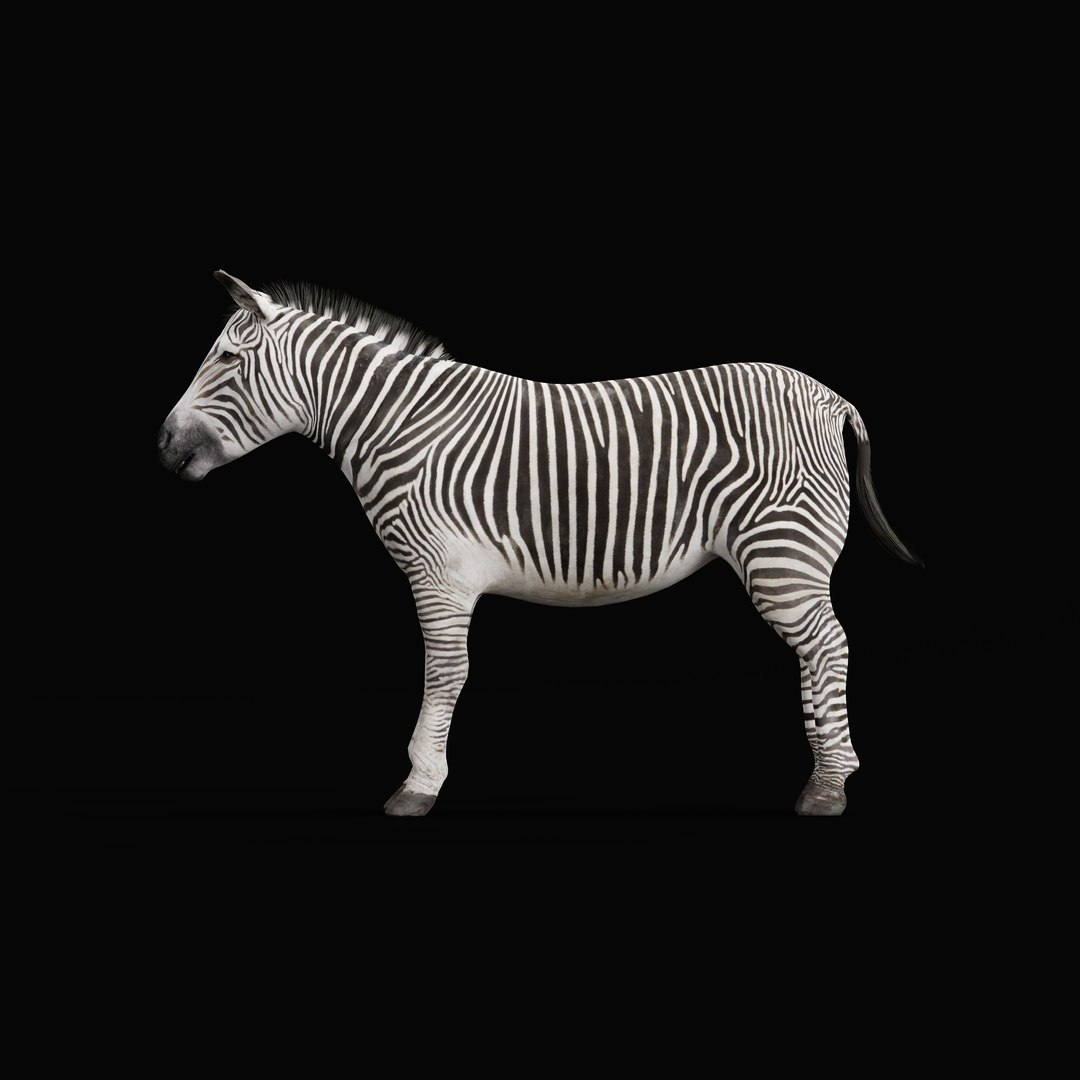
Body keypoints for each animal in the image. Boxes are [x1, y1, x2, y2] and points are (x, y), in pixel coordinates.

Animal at [157, 270, 922, 817]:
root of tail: (830, 397)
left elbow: (445, 674)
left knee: (827, 647)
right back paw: (834, 773)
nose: (161, 445)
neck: (406, 431)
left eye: (226, 360)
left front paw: (419, 784)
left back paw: (827, 789)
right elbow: (449, 674)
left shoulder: (439, 575)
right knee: (823, 649)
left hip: (782, 552)